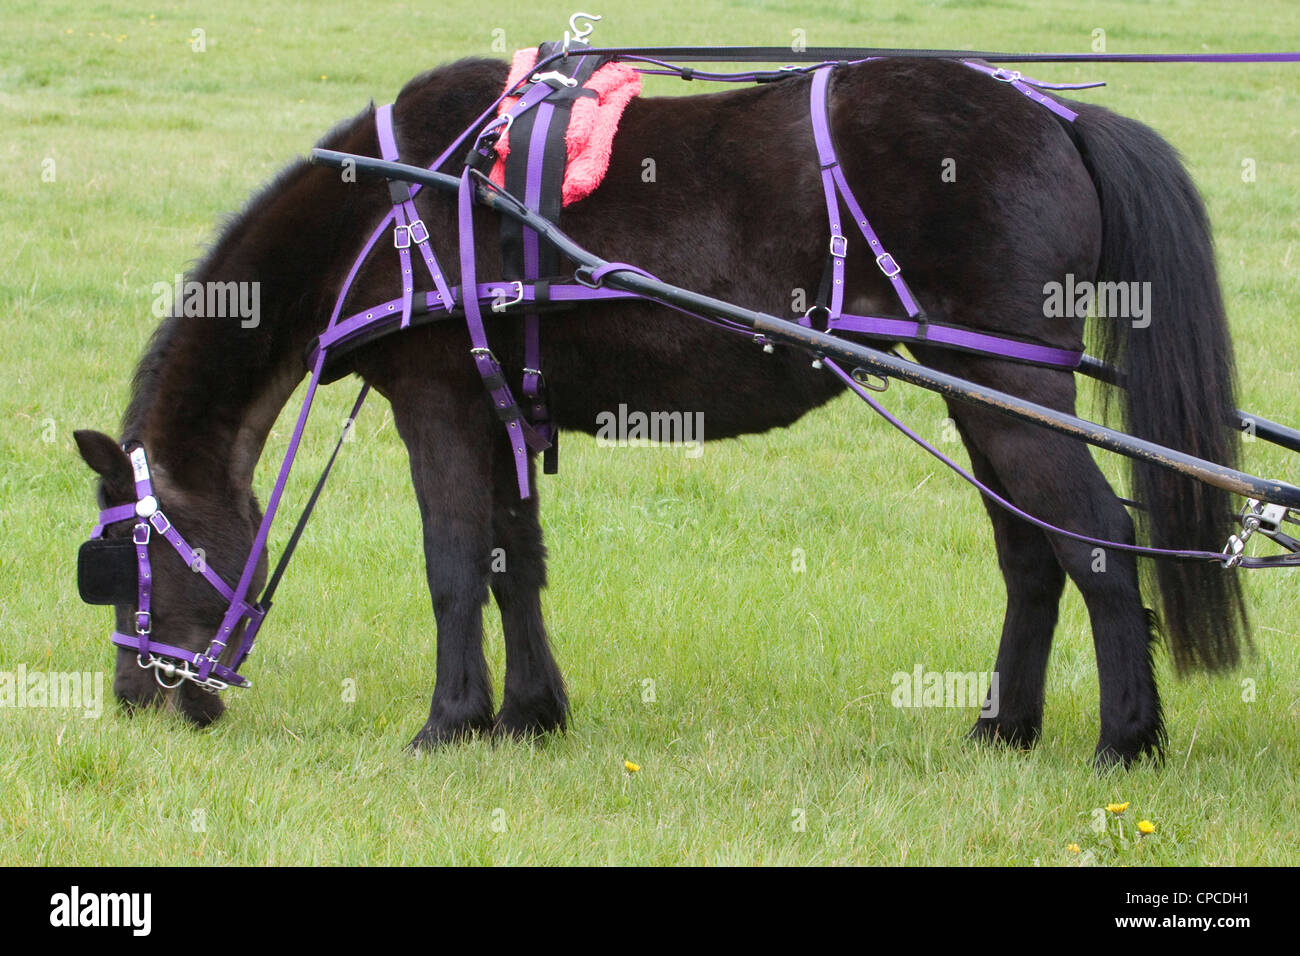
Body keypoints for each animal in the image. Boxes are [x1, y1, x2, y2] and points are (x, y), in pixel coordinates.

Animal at [73, 54, 1247, 766]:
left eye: (129, 557)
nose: (138, 700)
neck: (400, 204)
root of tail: (1058, 113)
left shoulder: (441, 400)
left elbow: (453, 563)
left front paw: (449, 722)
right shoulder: (500, 401)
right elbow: (513, 559)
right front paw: (529, 715)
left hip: (1012, 394)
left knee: (1099, 541)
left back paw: (1125, 738)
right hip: (979, 388)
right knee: (1032, 553)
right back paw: (1004, 728)